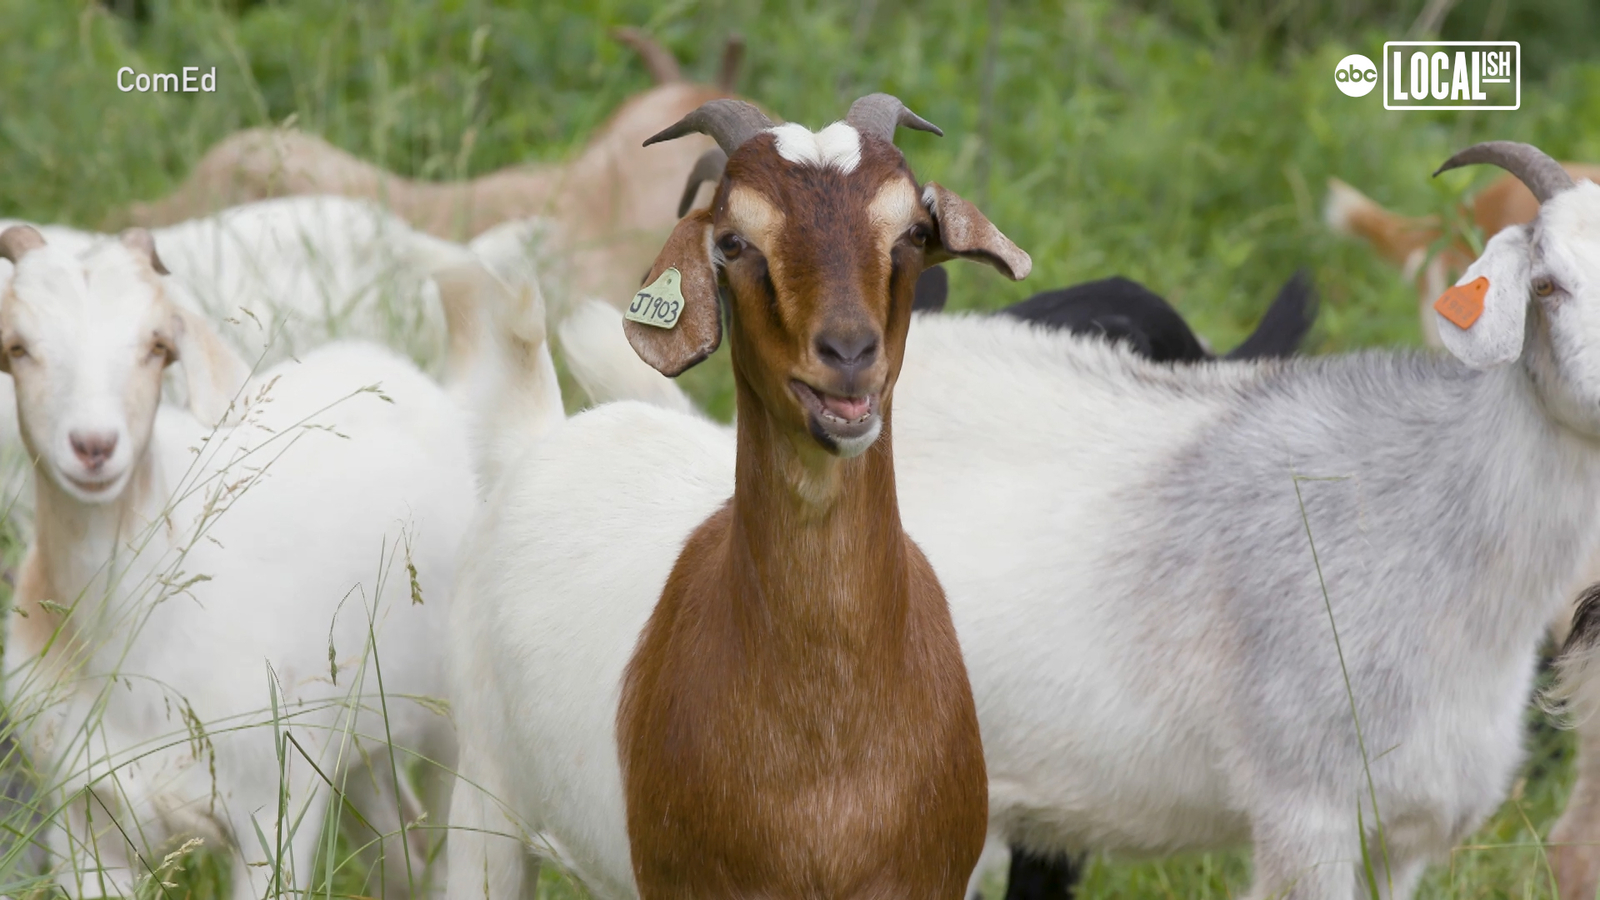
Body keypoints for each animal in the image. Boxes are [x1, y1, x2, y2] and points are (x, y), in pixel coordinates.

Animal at [0, 224, 479, 900]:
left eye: (156, 346)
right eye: (18, 347)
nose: (94, 447)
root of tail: (395, 371)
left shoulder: (271, 811)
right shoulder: (84, 815)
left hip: (448, 732)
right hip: (359, 746)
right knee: (402, 851)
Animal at [443, 94, 1031, 900]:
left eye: (913, 231)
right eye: (733, 242)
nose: (849, 355)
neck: (827, 767)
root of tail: (543, 435)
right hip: (484, 798)